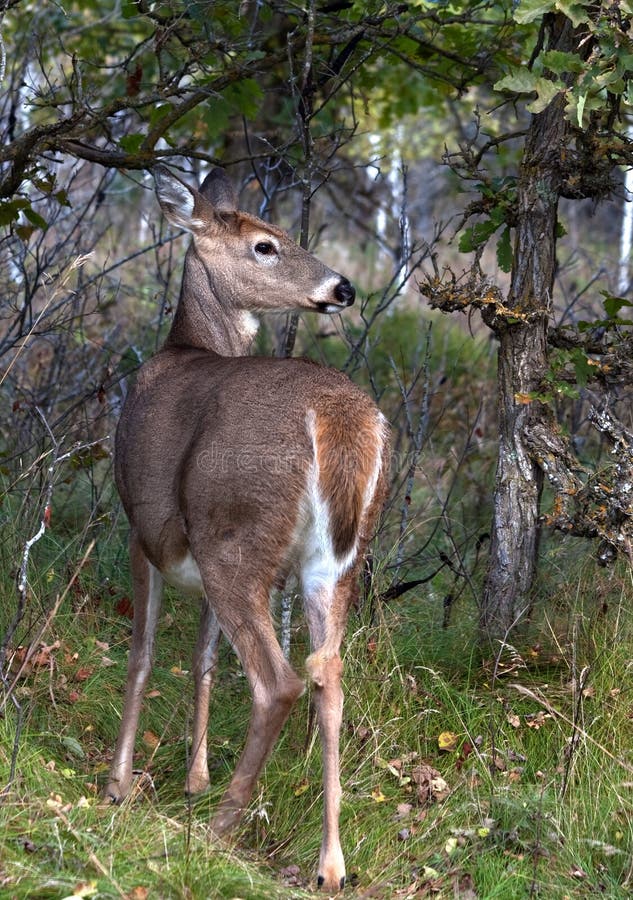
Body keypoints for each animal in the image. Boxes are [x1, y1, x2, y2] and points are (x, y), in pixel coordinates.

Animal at [106, 164, 390, 893]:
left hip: (239, 535)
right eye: (266, 244)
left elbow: (143, 654)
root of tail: (341, 419)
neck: (187, 347)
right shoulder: (191, 549)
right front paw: (194, 777)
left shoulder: (142, 527)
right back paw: (329, 864)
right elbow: (201, 659)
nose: (342, 288)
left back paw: (218, 829)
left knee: (279, 682)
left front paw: (119, 783)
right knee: (329, 676)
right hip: (334, 560)